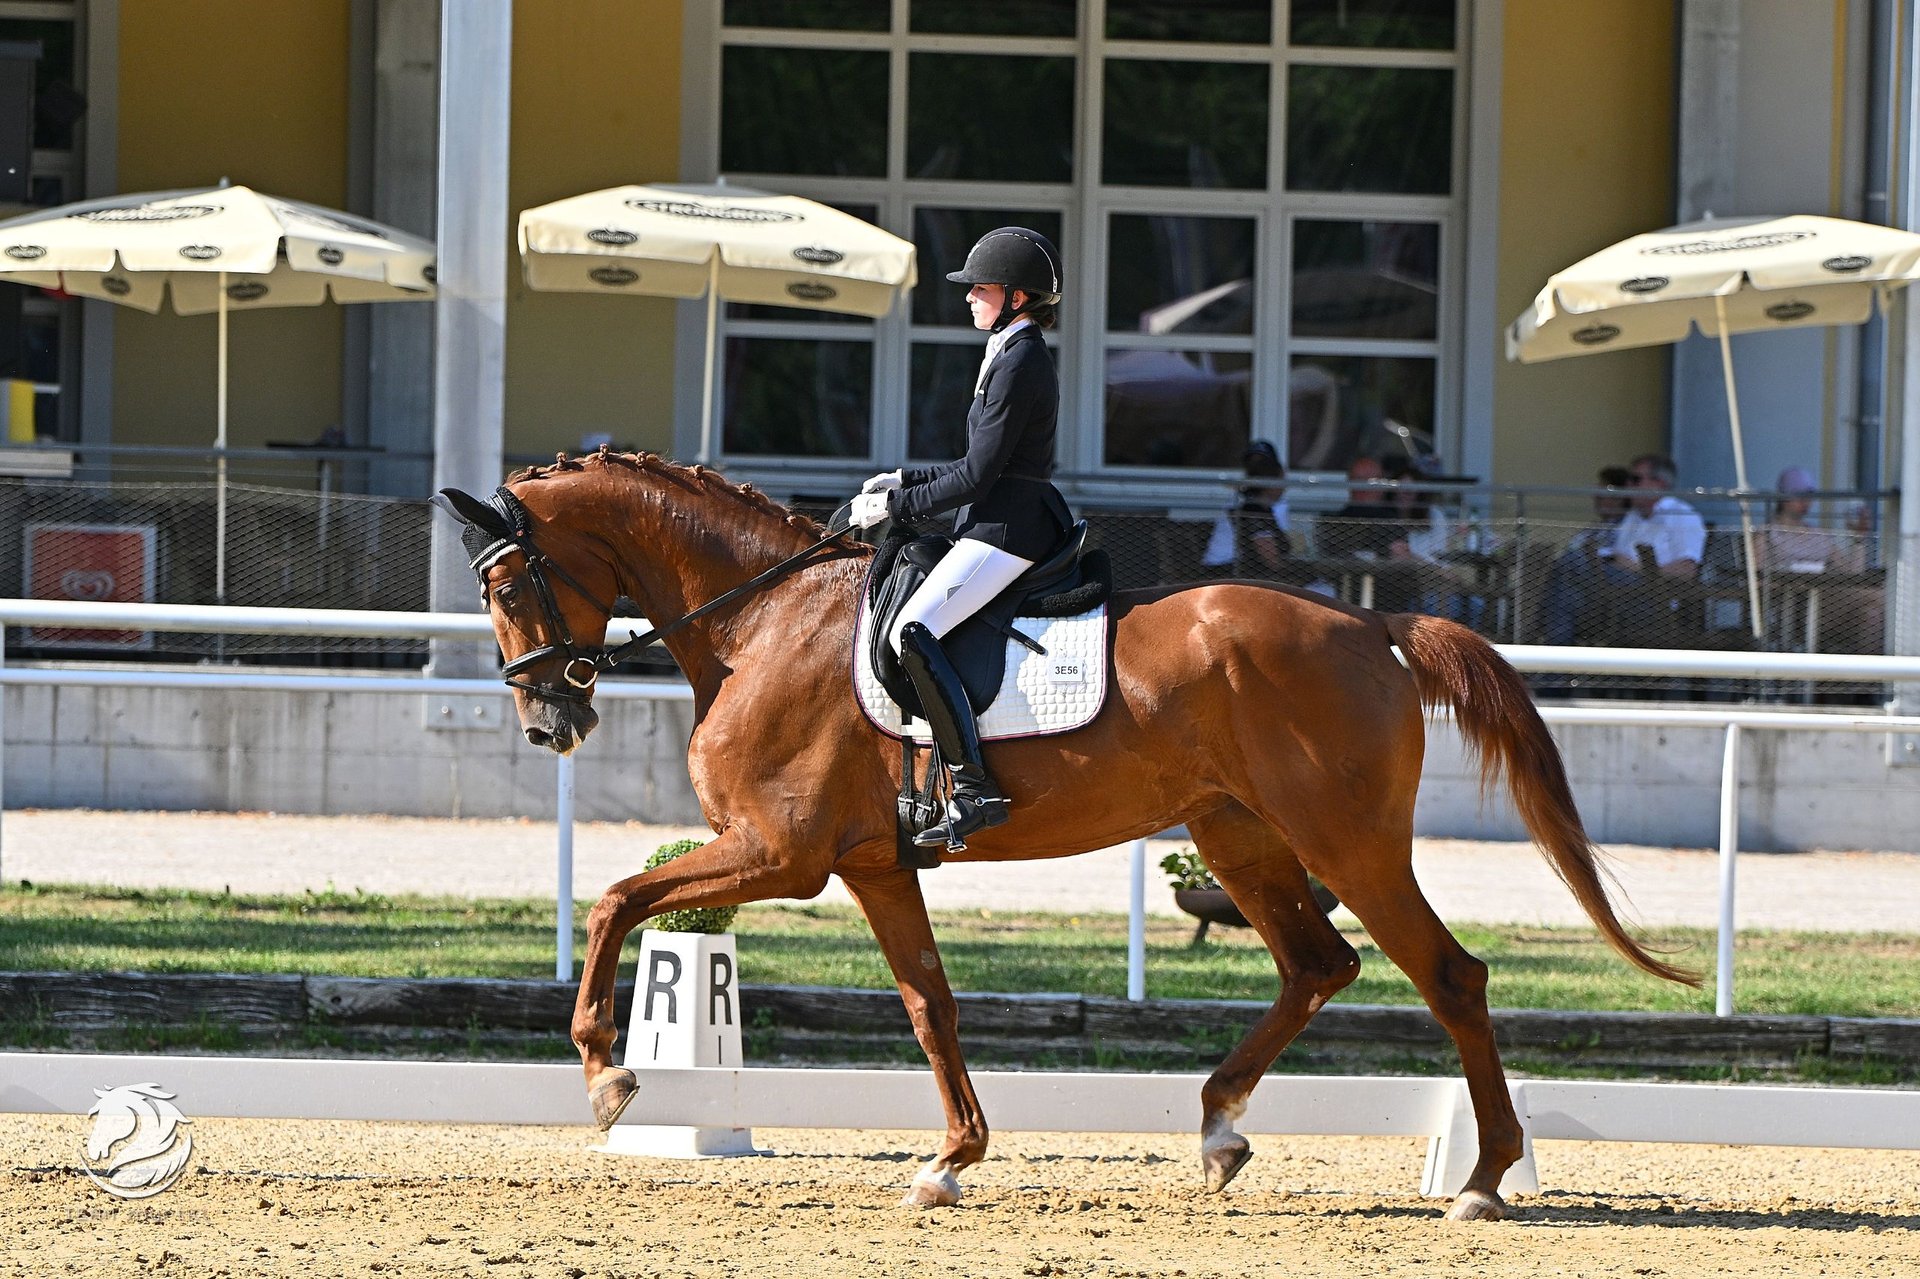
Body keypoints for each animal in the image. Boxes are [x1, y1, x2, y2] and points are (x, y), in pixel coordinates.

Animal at [433, 448, 1696, 1221]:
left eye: (507, 586)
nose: (549, 720)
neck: (760, 620)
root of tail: (1371, 622)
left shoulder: (780, 852)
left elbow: (615, 900)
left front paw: (606, 1072)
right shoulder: (872, 864)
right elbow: (931, 1005)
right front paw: (949, 1161)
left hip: (1349, 842)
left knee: (1448, 975)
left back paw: (1481, 1178)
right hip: (1238, 835)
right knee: (1320, 963)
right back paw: (1218, 1128)